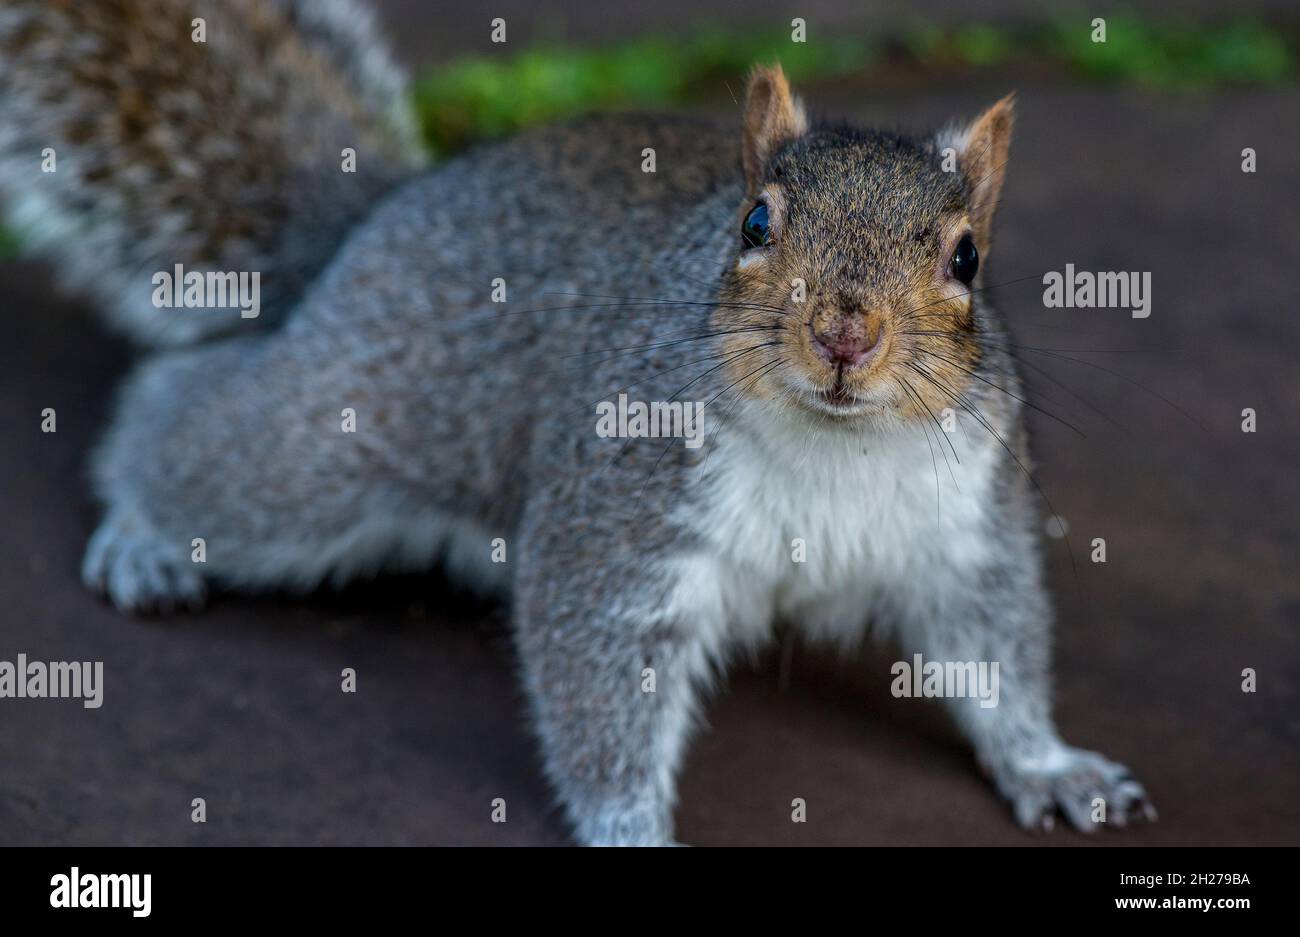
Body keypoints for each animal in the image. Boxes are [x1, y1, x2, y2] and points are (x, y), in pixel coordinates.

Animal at [1, 0, 1155, 845]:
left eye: (966, 256)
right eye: (755, 222)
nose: (845, 333)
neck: (832, 443)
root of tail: (370, 224)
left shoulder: (965, 524)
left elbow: (995, 646)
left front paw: (1053, 764)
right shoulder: (621, 507)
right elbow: (595, 669)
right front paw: (630, 830)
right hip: (346, 429)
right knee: (190, 419)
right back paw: (143, 534)